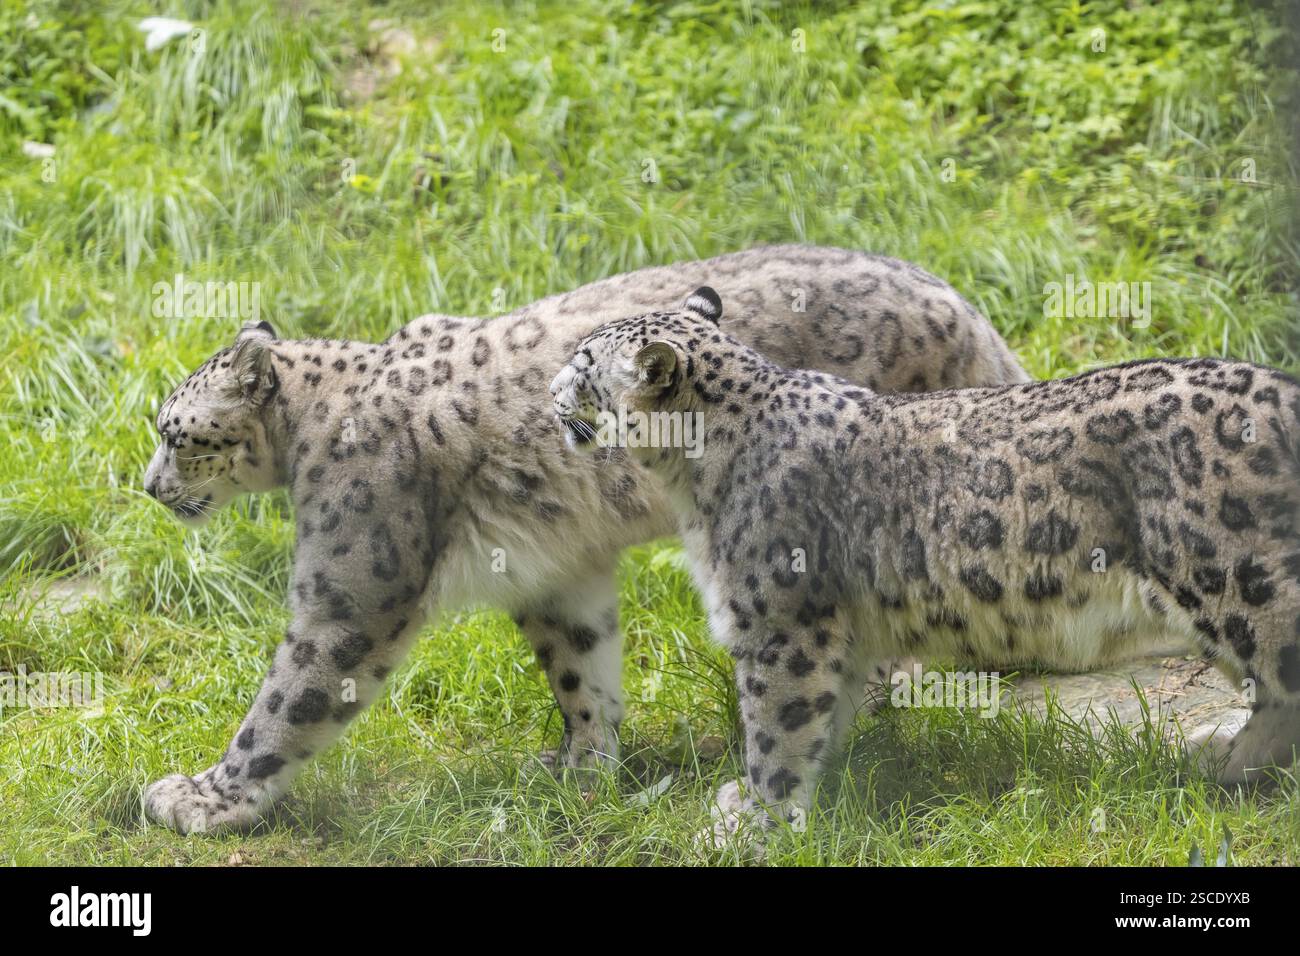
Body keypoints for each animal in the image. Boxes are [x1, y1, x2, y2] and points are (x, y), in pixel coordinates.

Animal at [141, 244, 1030, 835]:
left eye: (175, 433)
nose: (149, 487)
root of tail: (966, 312)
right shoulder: (552, 572)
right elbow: (579, 666)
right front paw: (582, 765)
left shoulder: (352, 589)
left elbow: (287, 700)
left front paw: (204, 797)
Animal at [550, 286, 1300, 840]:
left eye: (586, 361)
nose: (552, 389)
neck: (690, 485)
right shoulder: (836, 635)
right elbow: (824, 718)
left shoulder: (780, 624)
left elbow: (778, 729)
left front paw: (758, 824)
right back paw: (1224, 759)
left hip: (1241, 583)